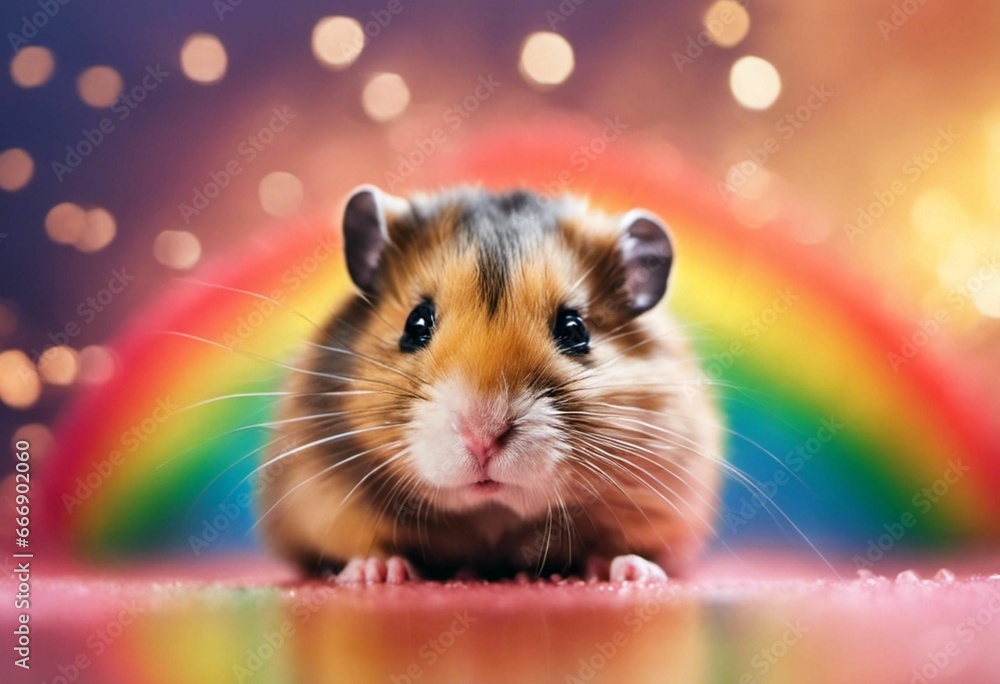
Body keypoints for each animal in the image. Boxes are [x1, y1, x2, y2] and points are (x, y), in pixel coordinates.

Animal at [258, 185, 722, 583]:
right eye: (415, 324)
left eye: (575, 330)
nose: (482, 437)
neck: (491, 515)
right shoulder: (323, 495)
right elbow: (365, 543)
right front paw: (378, 574)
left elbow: (620, 548)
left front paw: (633, 572)